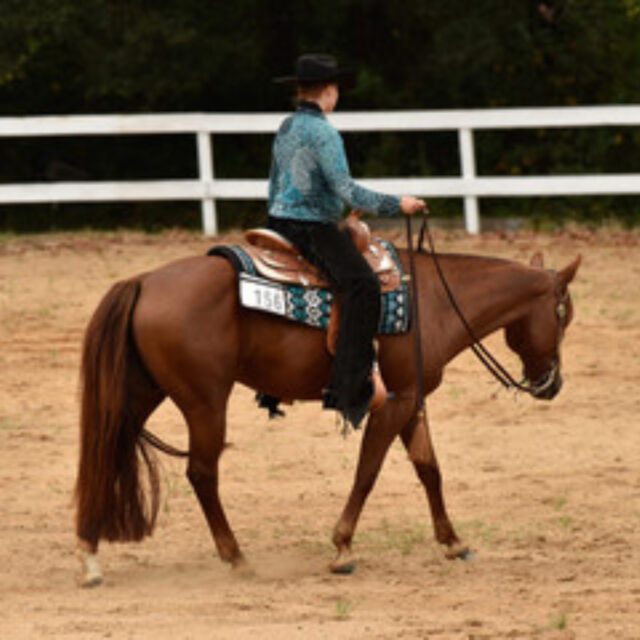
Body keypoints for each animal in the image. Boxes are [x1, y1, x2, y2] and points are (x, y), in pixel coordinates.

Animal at [74, 232, 580, 586]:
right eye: (563, 315)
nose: (552, 384)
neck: (432, 300)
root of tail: (142, 281)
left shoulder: (413, 398)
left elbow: (428, 469)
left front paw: (453, 542)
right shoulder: (395, 400)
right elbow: (368, 471)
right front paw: (342, 549)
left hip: (140, 394)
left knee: (106, 456)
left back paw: (90, 557)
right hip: (205, 402)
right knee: (201, 473)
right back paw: (236, 558)